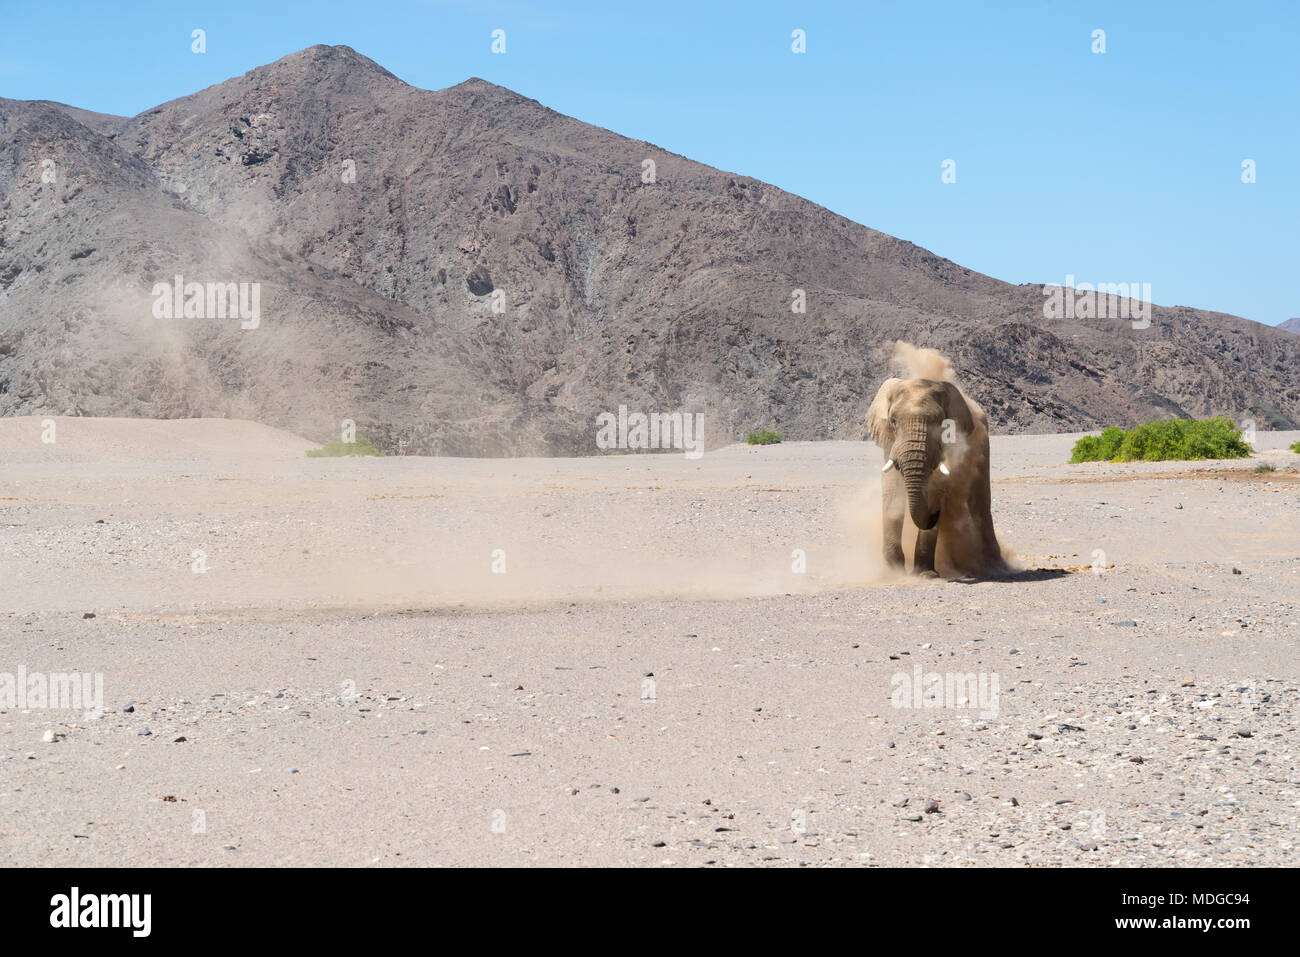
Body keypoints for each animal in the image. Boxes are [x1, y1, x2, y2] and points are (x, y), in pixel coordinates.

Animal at [865, 377, 1007, 578]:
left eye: (941, 422)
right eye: (893, 420)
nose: (935, 513)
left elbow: (935, 488)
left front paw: (925, 575)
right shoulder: (889, 443)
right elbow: (892, 492)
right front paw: (895, 573)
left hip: (983, 447)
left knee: (981, 503)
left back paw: (994, 567)